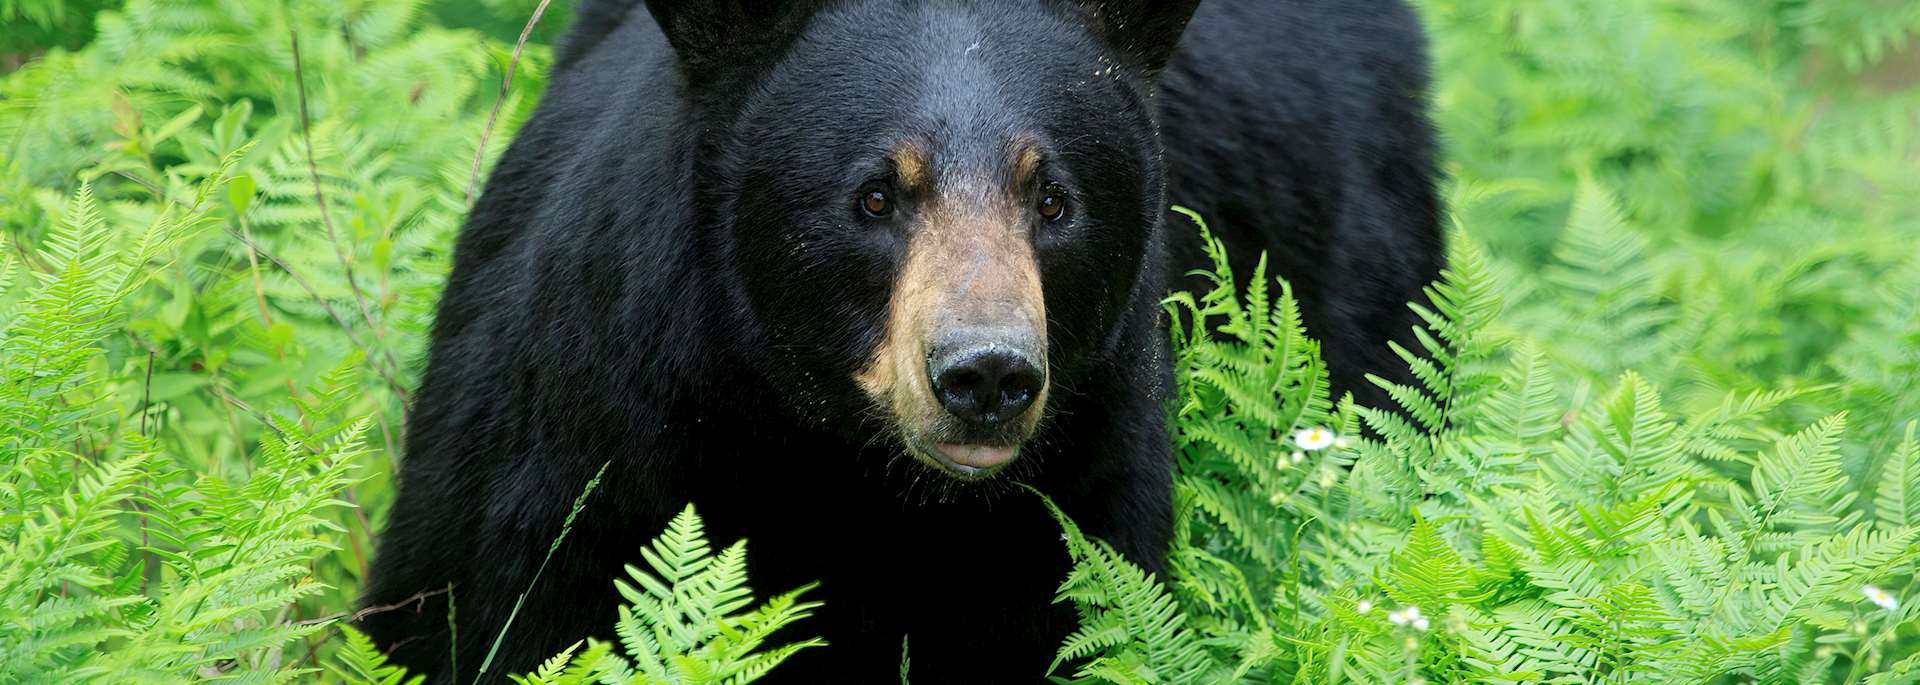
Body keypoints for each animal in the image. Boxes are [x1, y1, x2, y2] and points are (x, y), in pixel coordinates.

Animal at [360, 1, 1440, 683]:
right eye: (876, 195)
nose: (986, 374)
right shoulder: (587, 446)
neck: (860, 483)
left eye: (1054, 199)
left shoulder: (1083, 499)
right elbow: (483, 605)